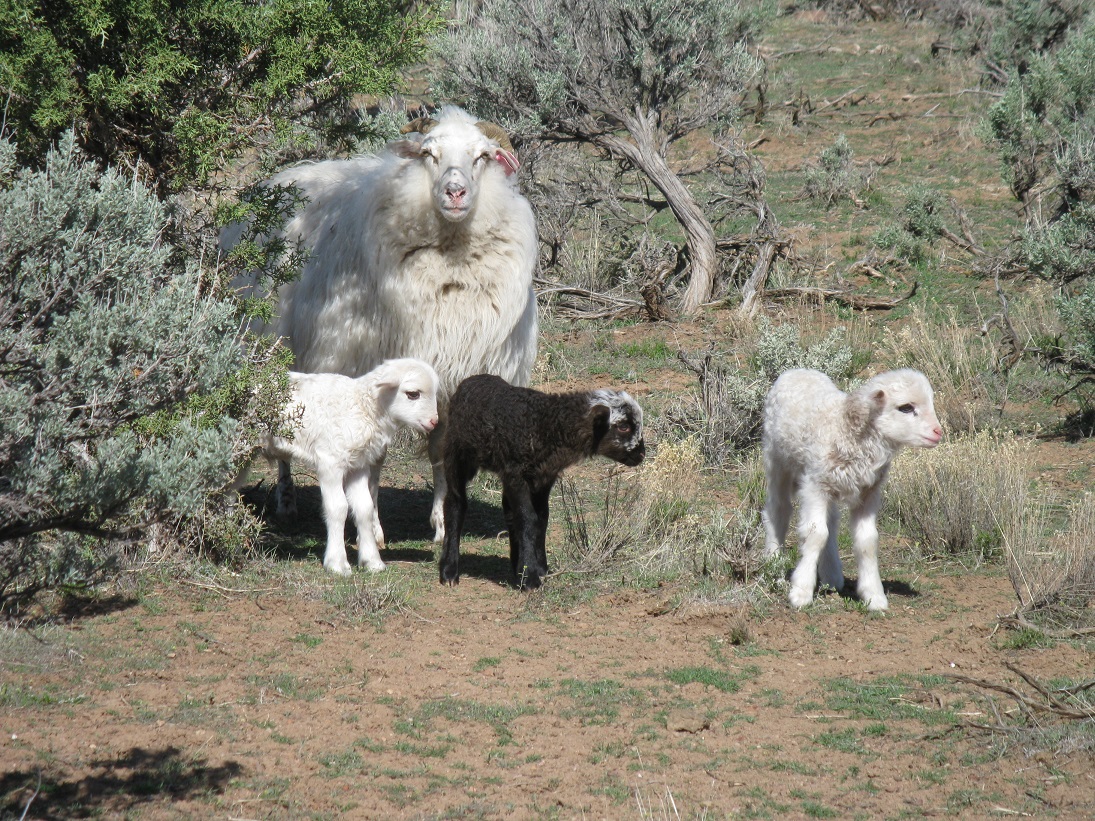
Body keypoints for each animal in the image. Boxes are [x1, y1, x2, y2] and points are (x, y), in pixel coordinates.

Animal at [225, 105, 538, 542]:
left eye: (482, 156)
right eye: (428, 154)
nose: (455, 193)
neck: (452, 261)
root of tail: (275, 180)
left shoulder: (452, 376)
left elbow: (440, 451)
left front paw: (442, 523)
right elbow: (375, 455)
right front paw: (370, 527)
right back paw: (286, 502)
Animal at [247, 358, 440, 575]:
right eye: (413, 394)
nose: (434, 422)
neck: (364, 408)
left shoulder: (358, 466)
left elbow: (364, 508)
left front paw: (372, 561)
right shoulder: (330, 462)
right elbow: (338, 507)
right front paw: (337, 563)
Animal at [439, 374, 646, 589]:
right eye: (624, 426)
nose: (641, 455)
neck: (546, 423)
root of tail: (472, 379)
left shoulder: (543, 478)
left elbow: (541, 518)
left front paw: (538, 569)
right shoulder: (517, 475)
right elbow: (528, 518)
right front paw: (531, 578)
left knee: (509, 513)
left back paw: (516, 566)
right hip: (456, 454)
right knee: (455, 503)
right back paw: (449, 571)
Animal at [761, 368, 943, 611]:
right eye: (905, 407)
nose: (938, 432)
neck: (846, 429)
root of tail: (798, 370)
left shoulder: (868, 492)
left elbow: (867, 541)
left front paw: (874, 596)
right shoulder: (815, 486)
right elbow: (815, 534)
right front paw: (801, 592)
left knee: (831, 521)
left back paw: (831, 575)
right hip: (777, 461)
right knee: (777, 510)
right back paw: (774, 565)